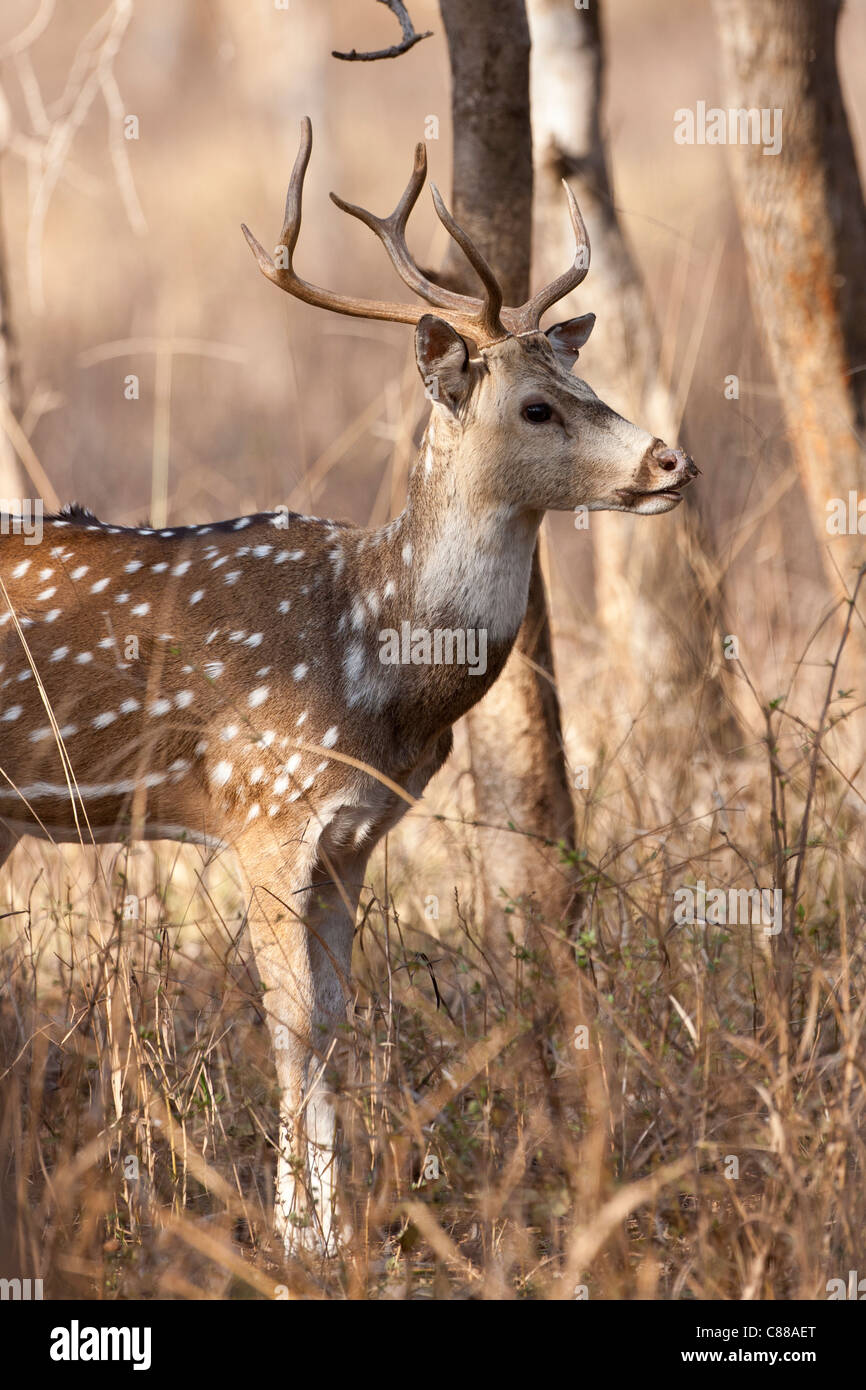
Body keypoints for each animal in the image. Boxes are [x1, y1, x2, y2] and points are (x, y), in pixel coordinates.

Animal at [0, 118, 697, 1255]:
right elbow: (287, 1023)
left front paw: (337, 1221)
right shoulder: (262, 810)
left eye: (586, 382)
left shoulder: (350, 836)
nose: (670, 462)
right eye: (536, 406)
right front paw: (297, 1234)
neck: (376, 666)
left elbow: (332, 1018)